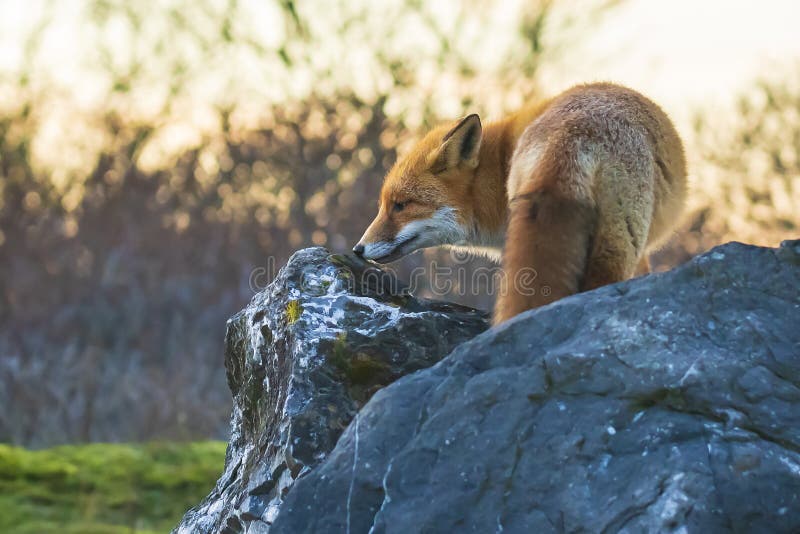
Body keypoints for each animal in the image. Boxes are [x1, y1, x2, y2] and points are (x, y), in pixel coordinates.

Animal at [353, 82, 687, 325]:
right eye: (386, 205)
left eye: (400, 205)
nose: (358, 249)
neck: (498, 171)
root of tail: (569, 133)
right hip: (618, 244)